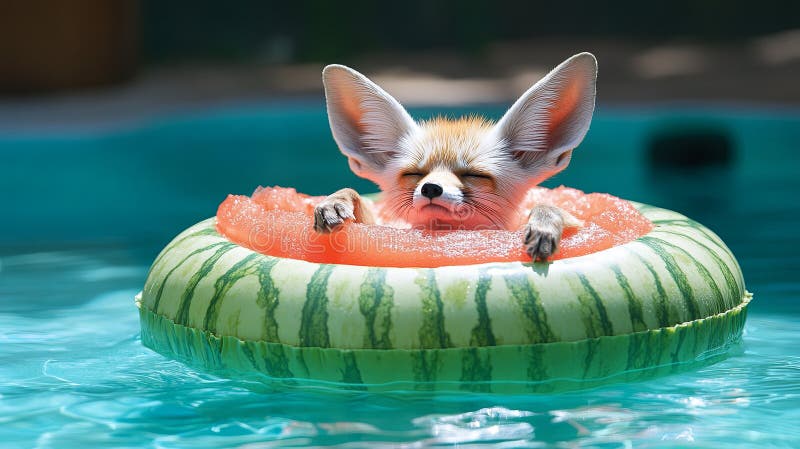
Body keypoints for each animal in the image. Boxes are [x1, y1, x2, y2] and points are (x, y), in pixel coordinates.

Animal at [313, 52, 597, 261]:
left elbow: (558, 212)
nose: (430, 188)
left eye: (474, 175)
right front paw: (336, 201)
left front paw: (544, 221)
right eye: (415, 174)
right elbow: (354, 195)